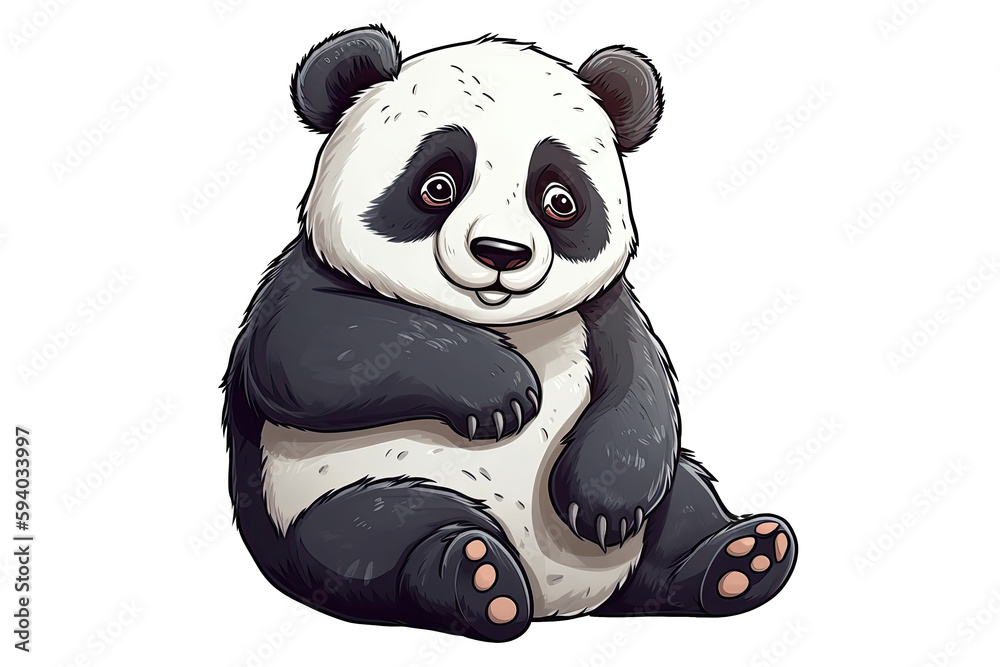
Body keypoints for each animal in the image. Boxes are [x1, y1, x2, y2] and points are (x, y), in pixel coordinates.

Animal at [222, 25, 797, 643]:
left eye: (559, 200)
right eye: (437, 186)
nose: (502, 253)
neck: (497, 320)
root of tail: (562, 600)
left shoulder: (602, 311)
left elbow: (642, 390)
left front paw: (604, 503)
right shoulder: (304, 280)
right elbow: (307, 354)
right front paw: (504, 391)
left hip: (657, 517)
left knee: (682, 506)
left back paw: (743, 557)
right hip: (334, 498)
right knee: (373, 533)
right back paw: (478, 577)